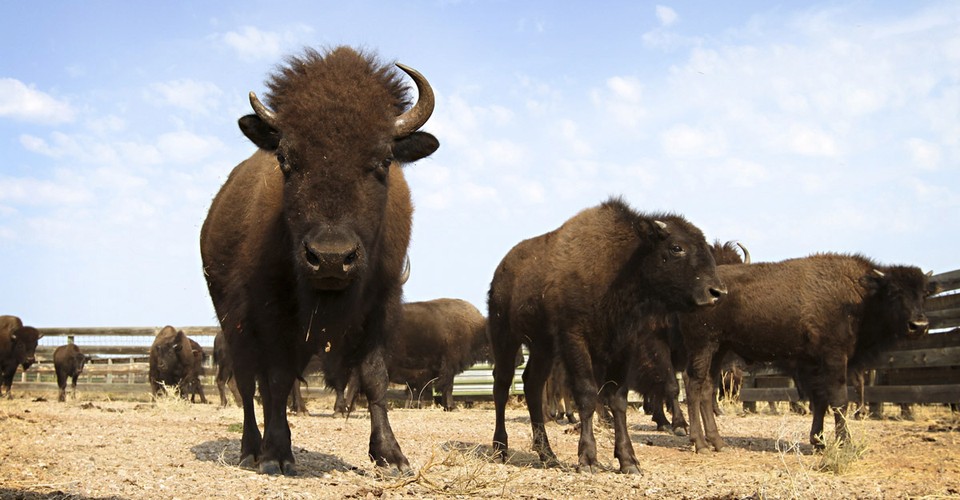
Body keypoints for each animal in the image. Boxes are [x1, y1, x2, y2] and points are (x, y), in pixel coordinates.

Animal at [200, 46, 438, 475]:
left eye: (384, 159)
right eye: (285, 158)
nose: (330, 258)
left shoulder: (381, 304)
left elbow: (373, 376)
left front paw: (391, 456)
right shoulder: (272, 313)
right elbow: (277, 380)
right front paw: (276, 455)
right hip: (233, 326)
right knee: (247, 384)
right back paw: (251, 449)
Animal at [488, 197, 726, 474]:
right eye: (677, 247)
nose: (717, 292)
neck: (621, 264)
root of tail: (501, 271)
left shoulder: (624, 345)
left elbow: (618, 399)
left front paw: (628, 461)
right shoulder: (575, 339)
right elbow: (587, 394)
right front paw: (588, 460)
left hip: (542, 347)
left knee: (532, 385)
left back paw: (548, 455)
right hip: (505, 337)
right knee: (502, 385)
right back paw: (500, 448)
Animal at [679, 253, 938, 452]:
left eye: (924, 294)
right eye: (893, 292)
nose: (919, 325)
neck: (860, 297)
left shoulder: (815, 364)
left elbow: (821, 400)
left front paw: (819, 442)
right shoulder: (835, 358)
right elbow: (839, 400)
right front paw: (845, 444)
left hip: (719, 348)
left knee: (707, 389)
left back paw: (718, 442)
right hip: (704, 345)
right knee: (694, 386)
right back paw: (700, 443)